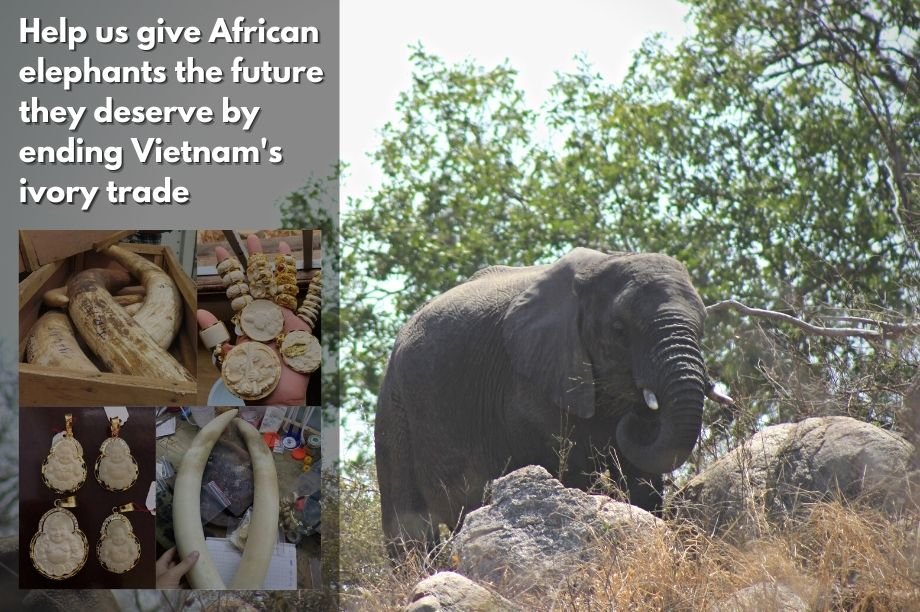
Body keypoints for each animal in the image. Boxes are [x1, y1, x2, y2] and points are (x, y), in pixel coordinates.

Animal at [375, 247, 721, 554]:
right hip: (394, 405)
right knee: (408, 527)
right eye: (619, 329)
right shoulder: (530, 381)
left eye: (702, 328)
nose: (640, 413)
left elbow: (643, 481)